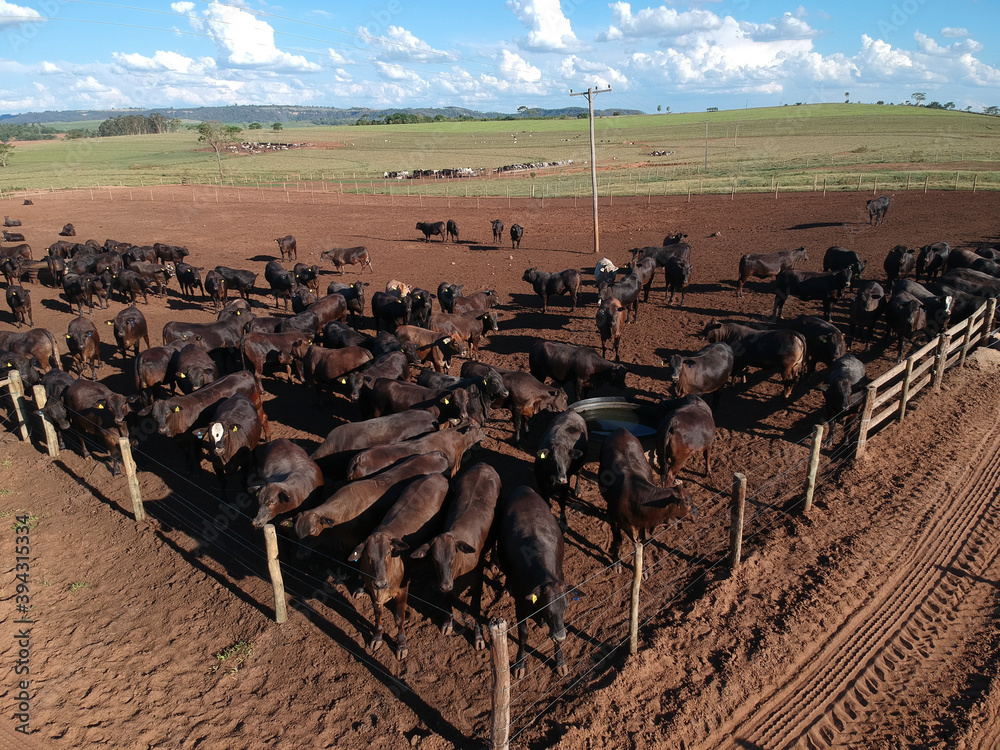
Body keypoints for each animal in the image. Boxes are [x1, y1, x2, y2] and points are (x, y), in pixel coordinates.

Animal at [348, 472, 451, 657]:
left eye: (388, 553)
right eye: (368, 556)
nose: (380, 583)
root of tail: (437, 475)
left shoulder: (402, 590)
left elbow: (398, 617)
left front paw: (401, 645)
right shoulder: (375, 594)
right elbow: (377, 614)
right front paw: (377, 637)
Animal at [410, 462, 500, 650]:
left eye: (453, 557)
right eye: (434, 560)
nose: (445, 585)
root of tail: (483, 464)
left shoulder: (477, 579)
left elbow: (475, 608)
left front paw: (479, 637)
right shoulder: (445, 581)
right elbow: (447, 601)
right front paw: (447, 623)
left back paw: (494, 563)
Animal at [498, 485, 570, 678]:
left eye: (565, 607)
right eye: (548, 609)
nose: (561, 636)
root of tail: (523, 488)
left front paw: (560, 662)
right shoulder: (520, 607)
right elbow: (523, 635)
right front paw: (519, 664)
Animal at [599, 427, 694, 569]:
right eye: (687, 503)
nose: (696, 514)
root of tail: (621, 429)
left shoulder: (645, 525)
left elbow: (643, 544)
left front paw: (642, 566)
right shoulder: (615, 520)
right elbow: (618, 540)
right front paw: (616, 562)